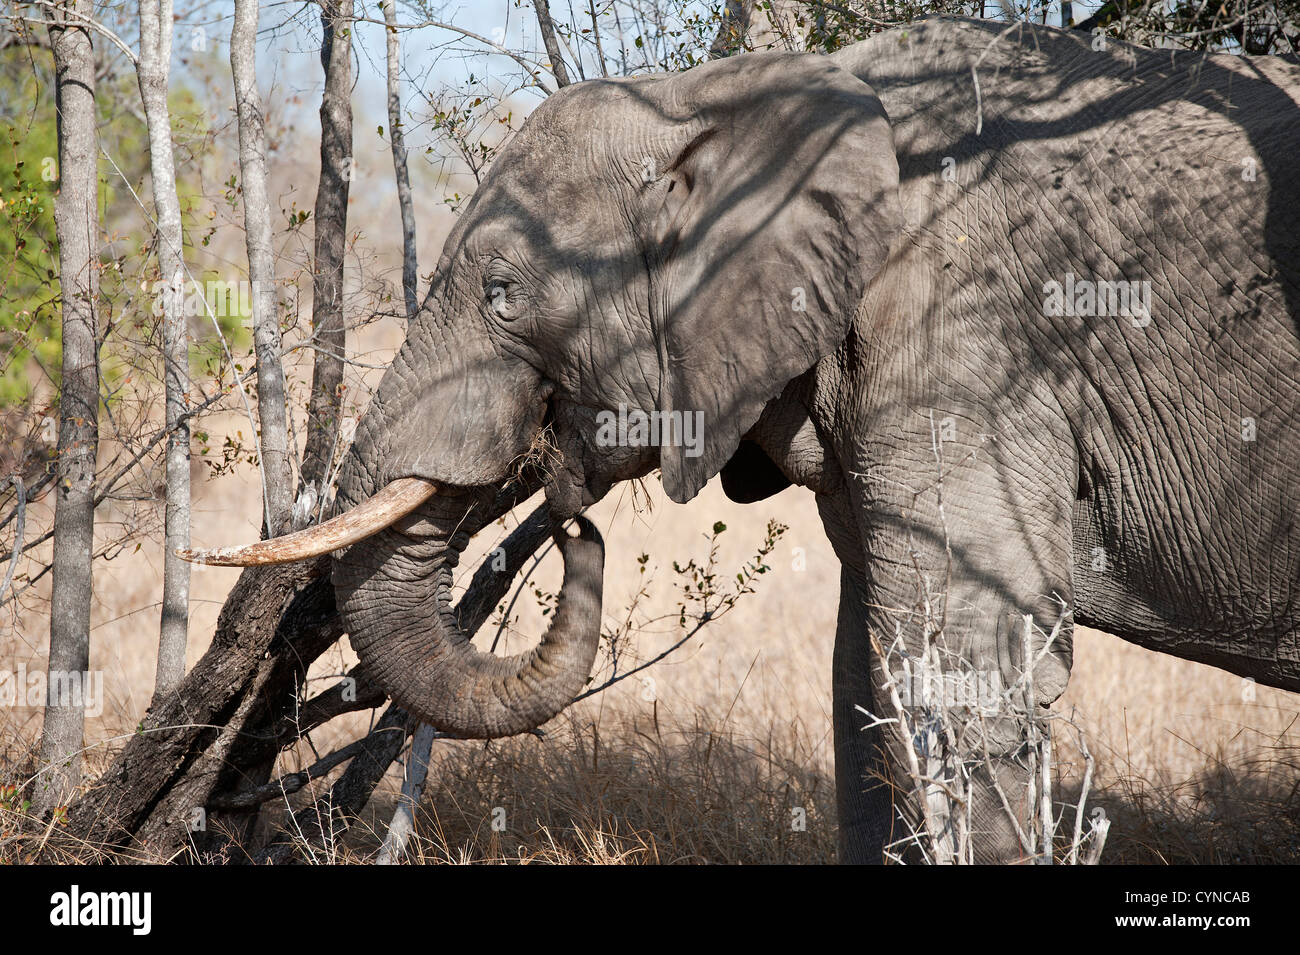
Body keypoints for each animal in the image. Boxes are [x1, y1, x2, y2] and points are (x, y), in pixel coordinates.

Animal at [187, 17, 1300, 863]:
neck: (717, 103)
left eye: (502, 296)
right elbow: (866, 672)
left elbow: (958, 665)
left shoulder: (969, 328)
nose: (571, 516)